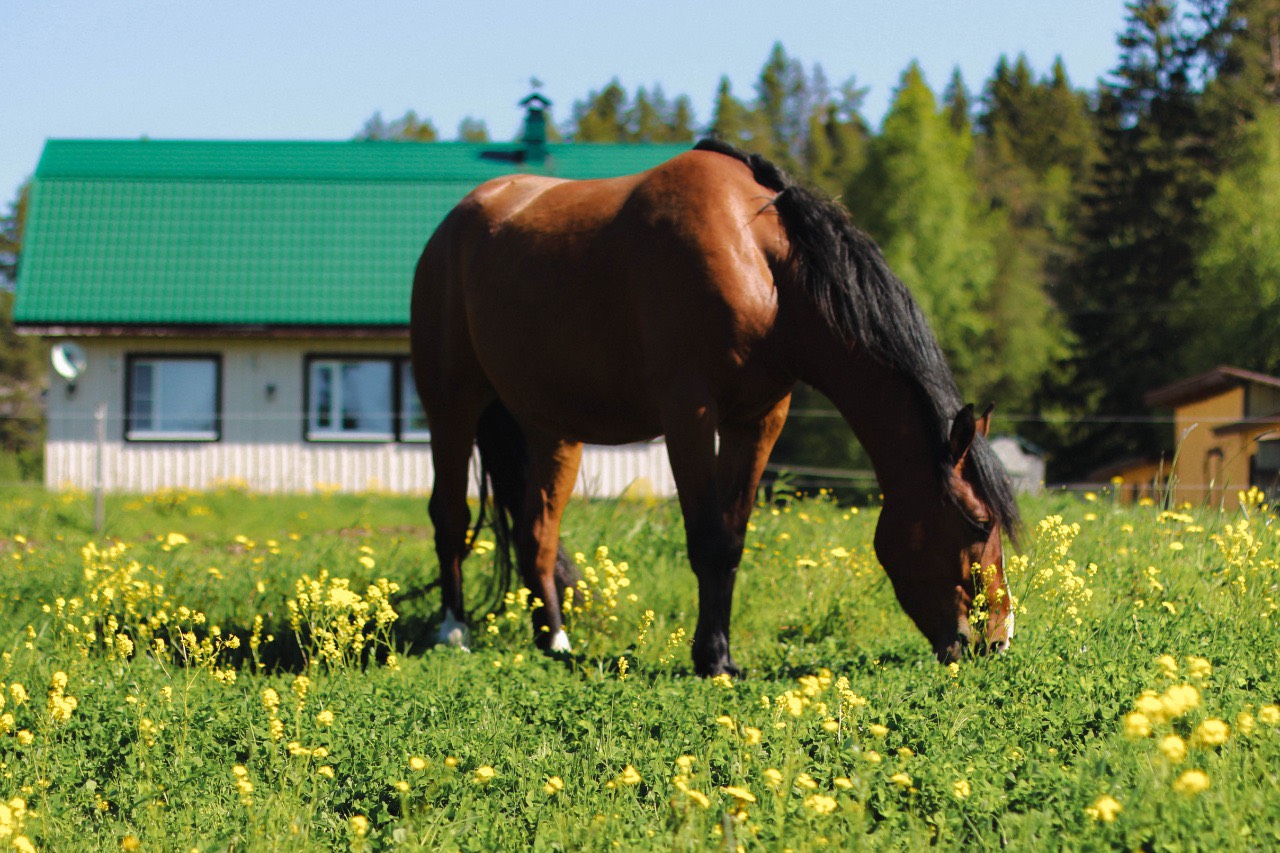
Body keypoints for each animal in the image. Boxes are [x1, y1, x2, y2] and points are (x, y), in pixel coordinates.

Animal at [409, 137, 1018, 671]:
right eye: (976, 521)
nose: (998, 640)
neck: (762, 263)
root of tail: (456, 224)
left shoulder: (758, 420)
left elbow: (731, 540)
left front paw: (720, 654)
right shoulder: (691, 417)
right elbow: (708, 539)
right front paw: (711, 658)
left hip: (550, 430)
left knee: (537, 532)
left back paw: (554, 641)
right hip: (452, 404)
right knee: (449, 516)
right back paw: (453, 630)